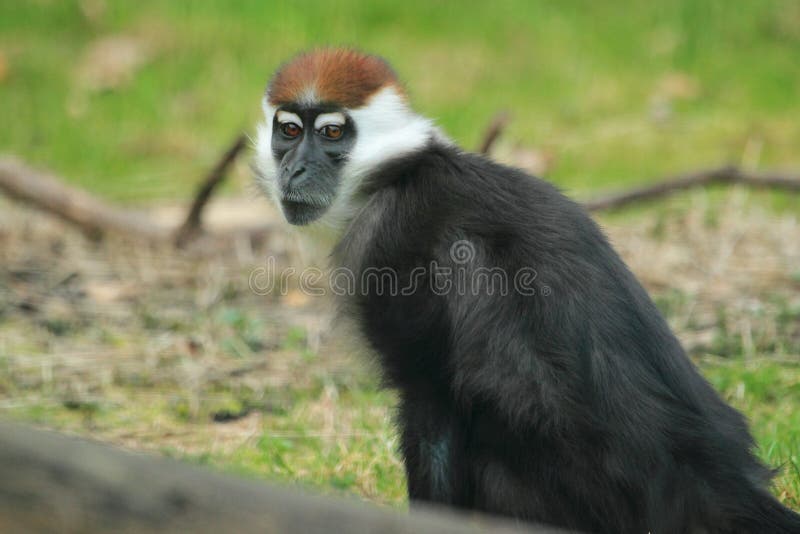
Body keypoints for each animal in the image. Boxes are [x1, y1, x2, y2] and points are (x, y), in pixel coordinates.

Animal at [253, 48, 800, 533]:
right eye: (289, 130)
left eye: (331, 132)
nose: (294, 170)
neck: (396, 176)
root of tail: (712, 486)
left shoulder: (391, 246)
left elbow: (431, 399)